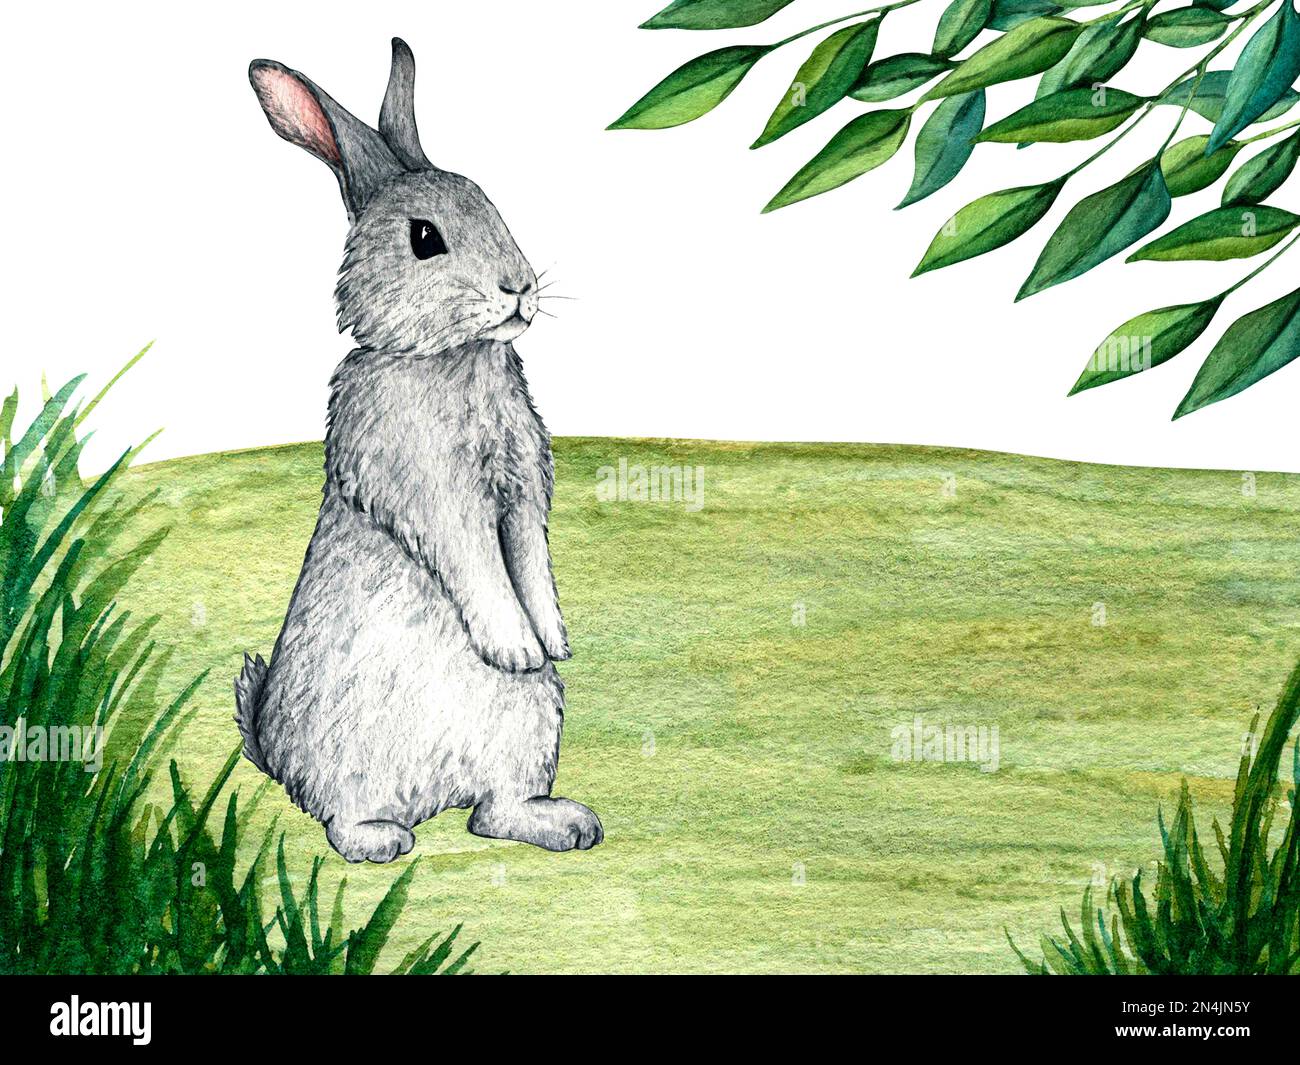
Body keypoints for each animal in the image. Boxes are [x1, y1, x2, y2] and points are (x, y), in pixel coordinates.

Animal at [236, 38, 602, 863]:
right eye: (425, 238)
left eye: (493, 204)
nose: (519, 288)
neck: (444, 357)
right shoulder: (435, 493)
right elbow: (473, 560)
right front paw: (516, 647)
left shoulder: (521, 491)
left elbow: (529, 557)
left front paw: (552, 638)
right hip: (348, 751)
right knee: (343, 814)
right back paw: (380, 841)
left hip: (527, 732)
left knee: (492, 813)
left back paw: (564, 823)